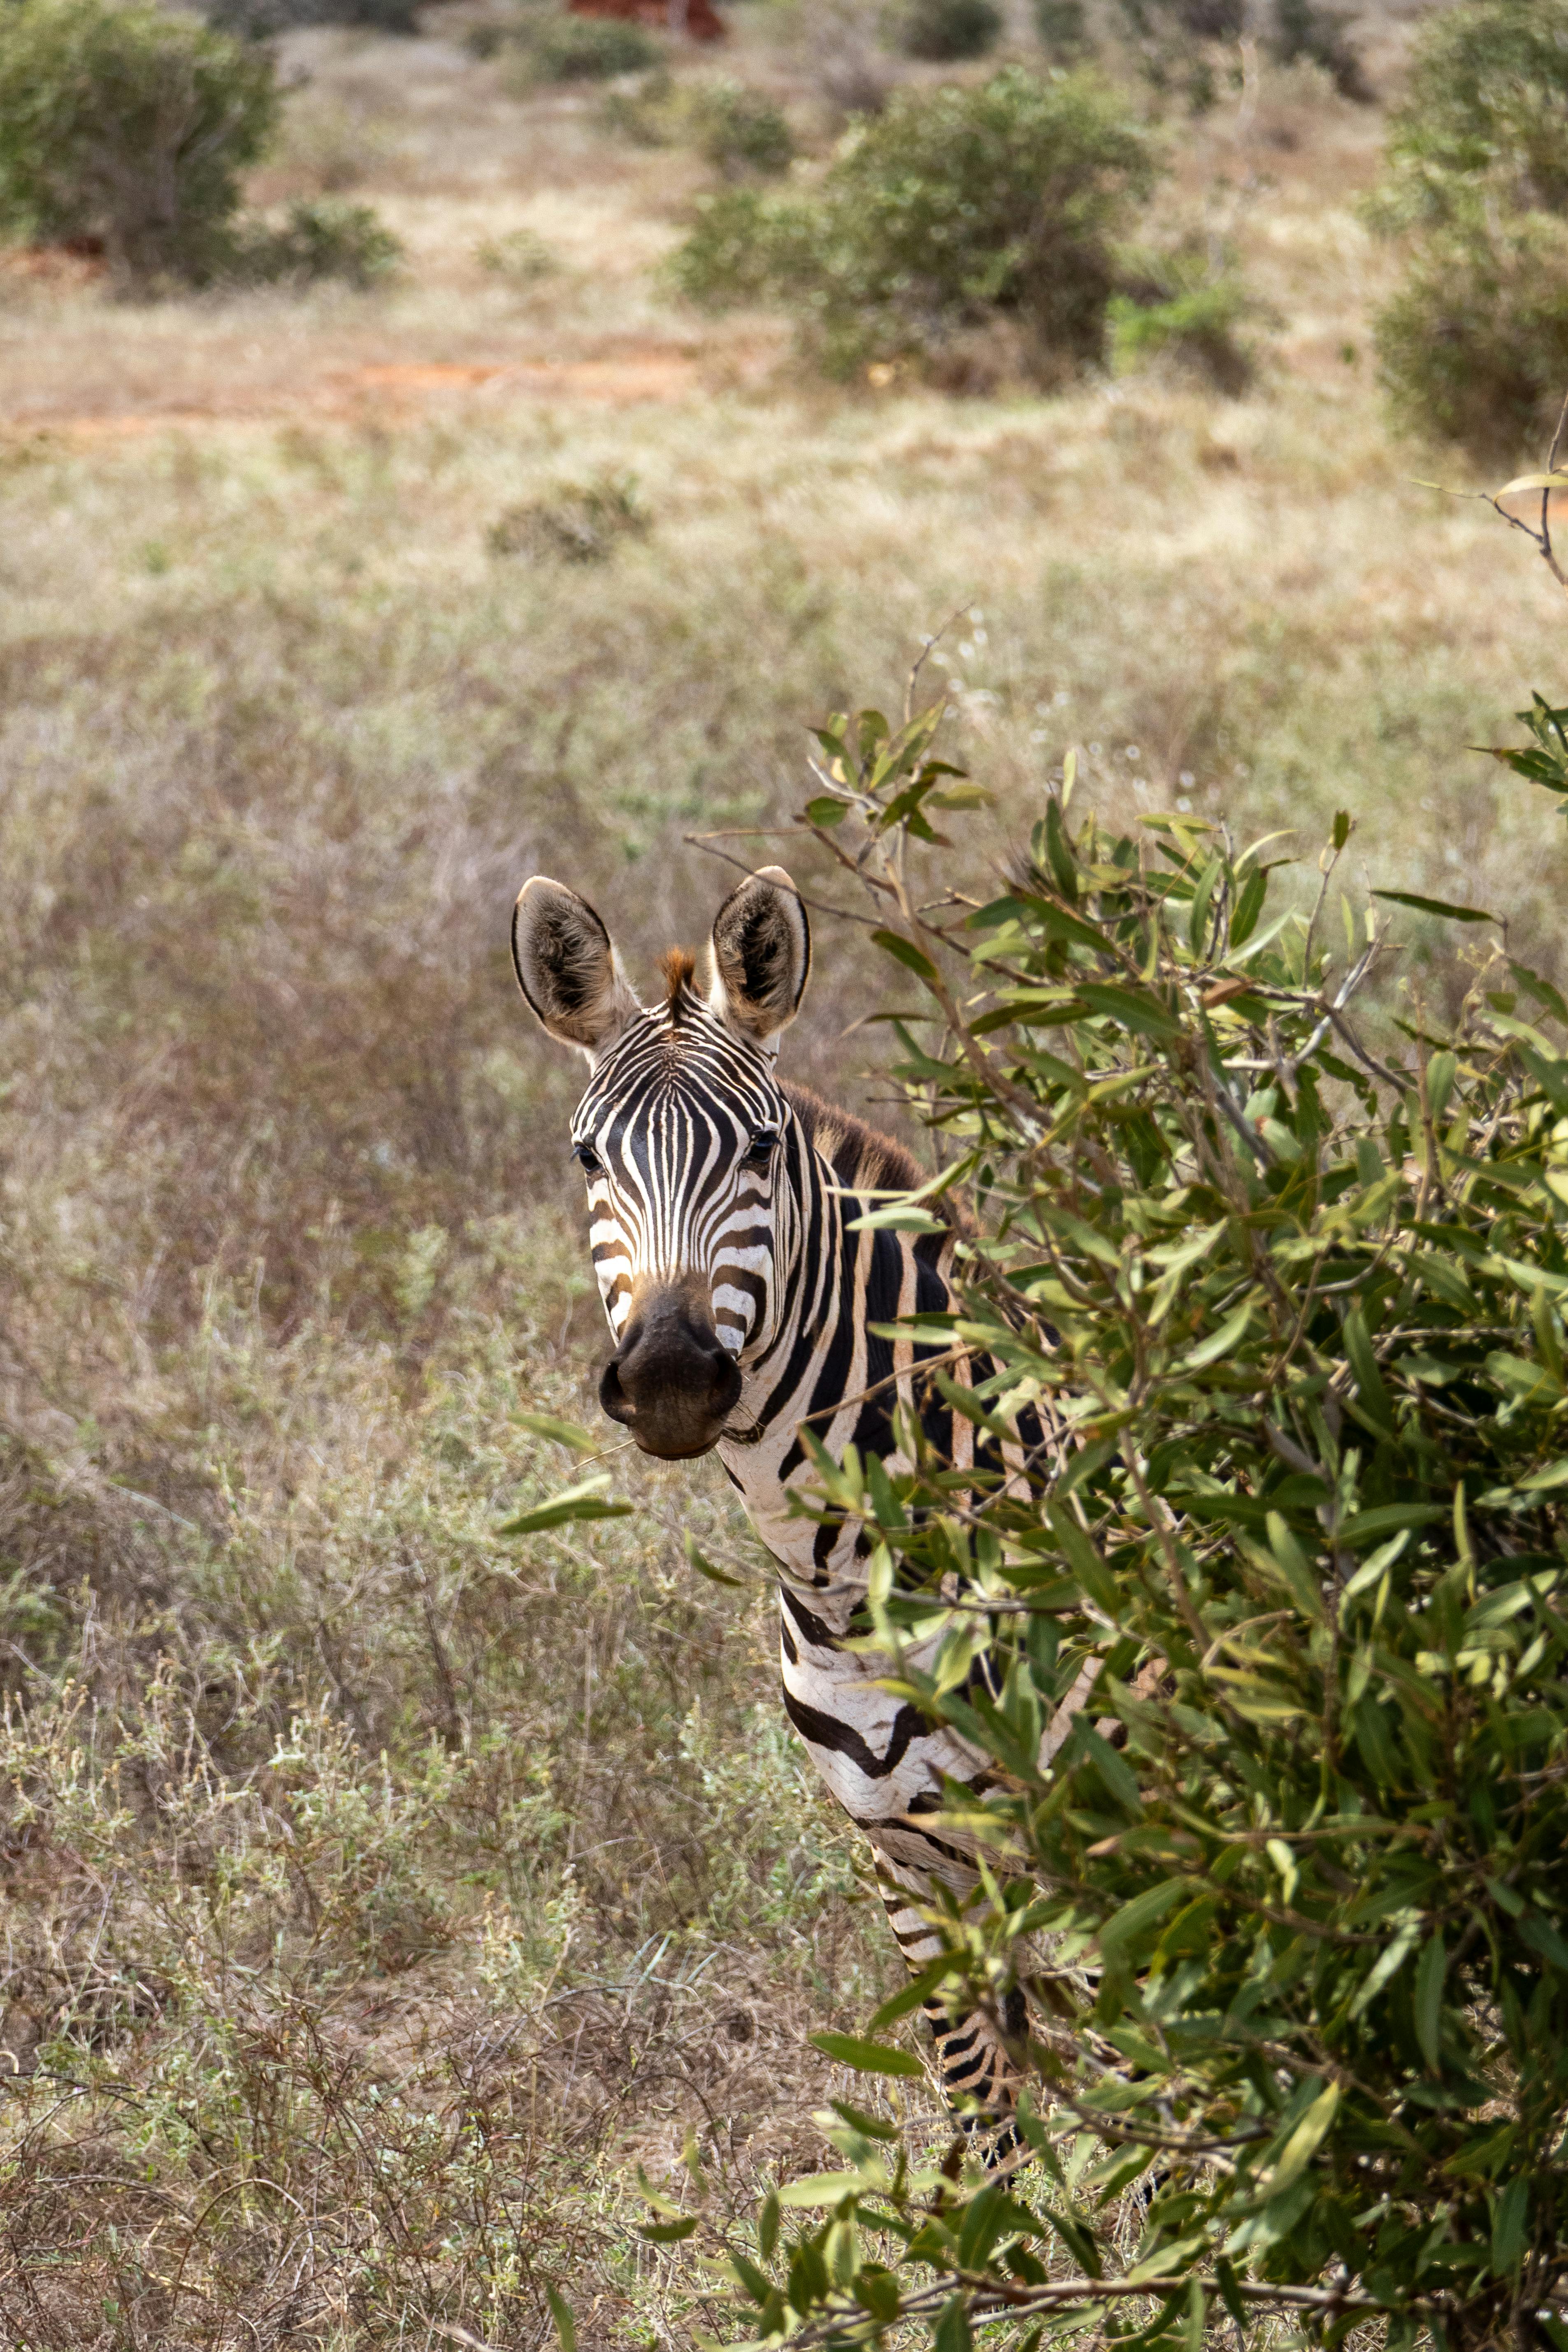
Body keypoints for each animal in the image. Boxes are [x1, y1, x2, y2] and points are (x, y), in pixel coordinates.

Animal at [512, 862, 1095, 2152]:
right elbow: (982, 2130)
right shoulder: (905, 1867)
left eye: (762, 1146)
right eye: (586, 1159)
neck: (852, 1588)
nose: (672, 1377)